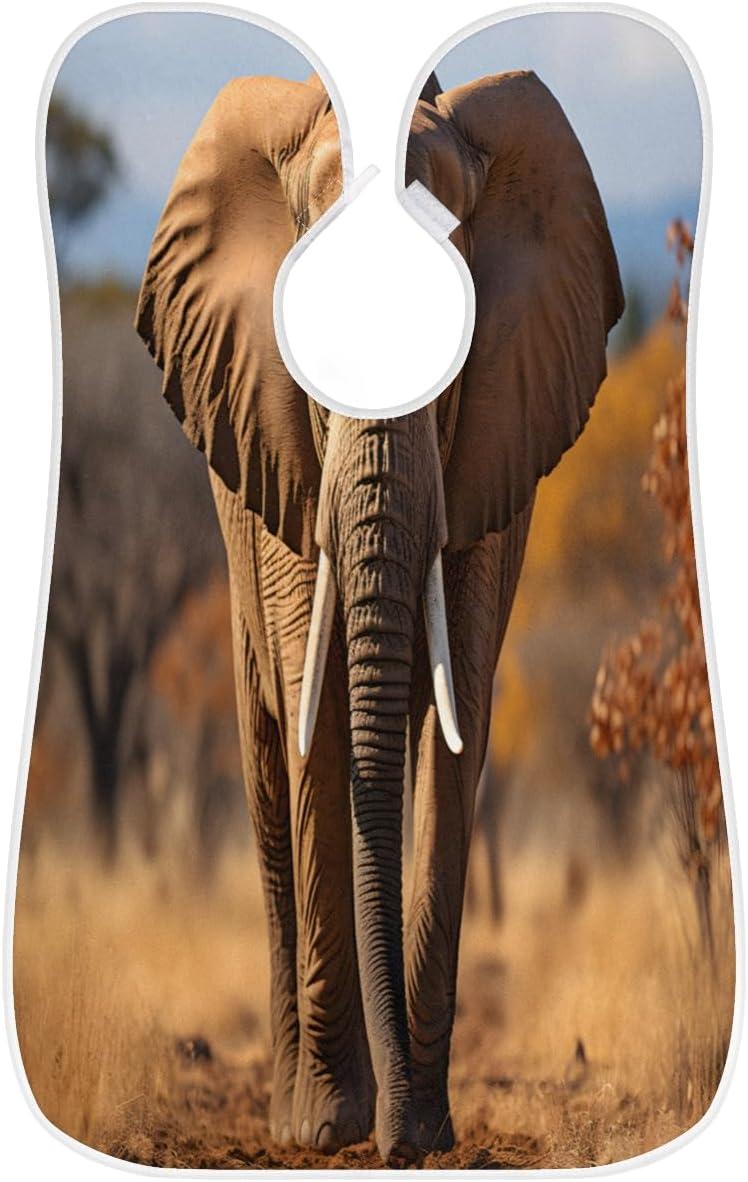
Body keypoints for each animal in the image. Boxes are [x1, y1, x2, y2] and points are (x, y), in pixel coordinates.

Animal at [136, 68, 623, 1165]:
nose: (395, 1143)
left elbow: (460, 715)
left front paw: (424, 1132)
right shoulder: (272, 433)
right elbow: (314, 716)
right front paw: (332, 1130)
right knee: (268, 747)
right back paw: (295, 1111)